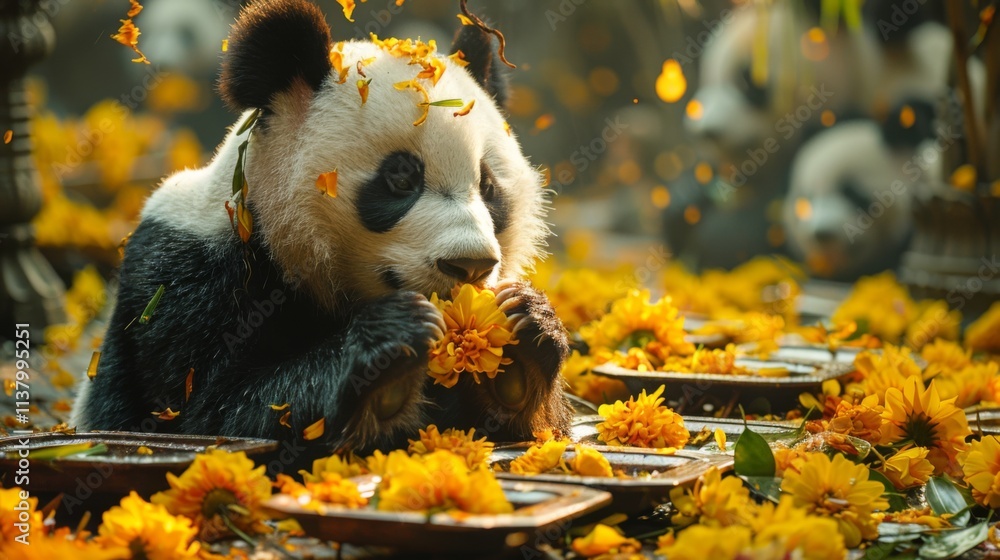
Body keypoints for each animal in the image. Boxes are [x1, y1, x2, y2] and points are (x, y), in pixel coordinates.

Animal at [71, 0, 571, 461]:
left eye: (488, 186)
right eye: (400, 178)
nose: (469, 265)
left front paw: (523, 332)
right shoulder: (188, 284)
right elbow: (207, 414)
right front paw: (390, 340)